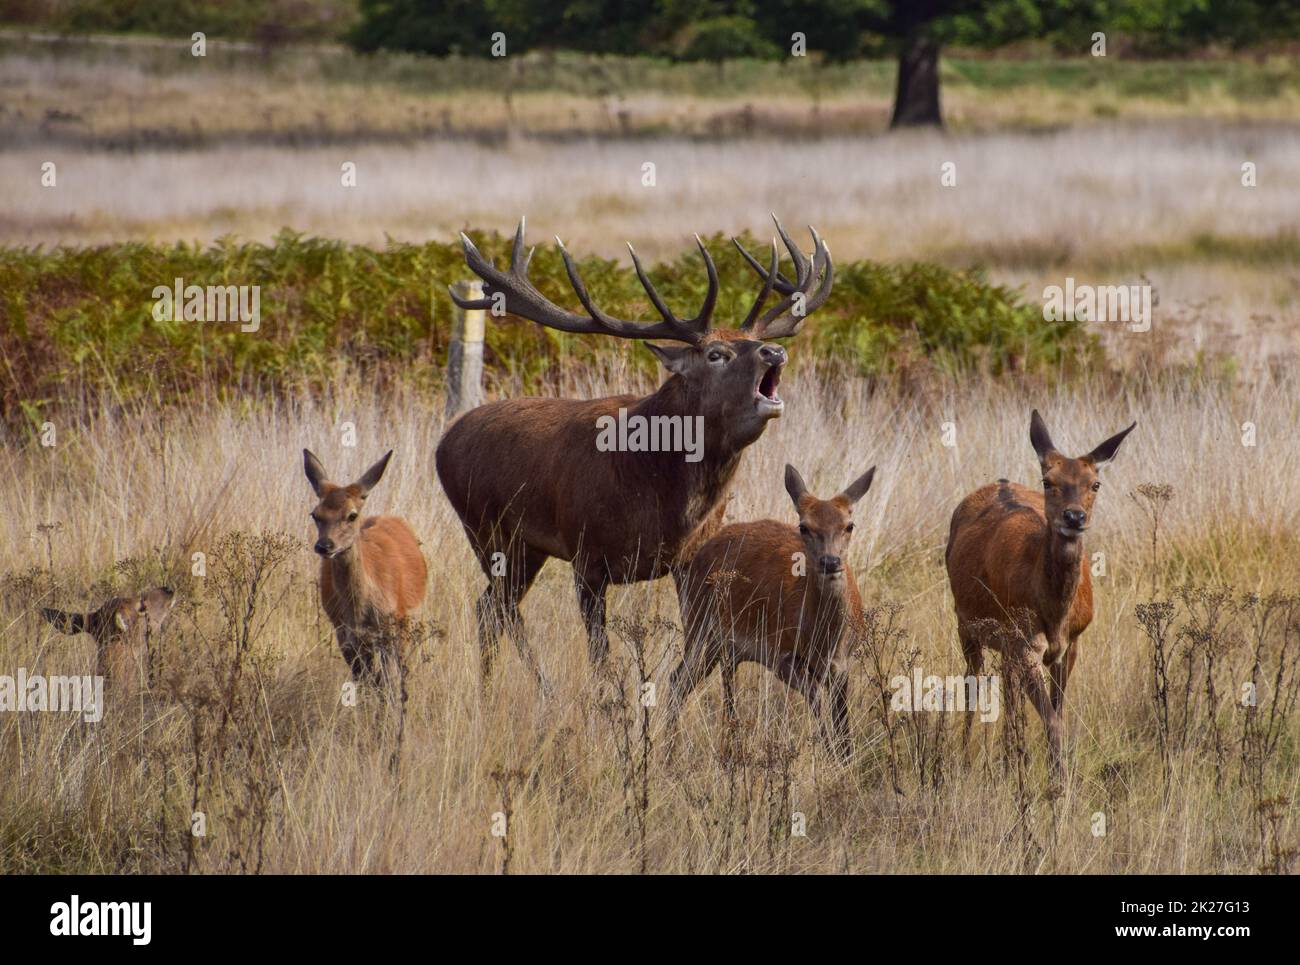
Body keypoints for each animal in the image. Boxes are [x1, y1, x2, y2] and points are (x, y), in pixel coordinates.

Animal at [303, 449, 428, 700]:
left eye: (351, 515)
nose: (324, 545)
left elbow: (391, 684)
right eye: (315, 514)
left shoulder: (393, 627)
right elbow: (367, 683)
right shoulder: (345, 636)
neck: (360, 609)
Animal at [436, 216, 833, 690]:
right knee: (500, 609)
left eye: (752, 341)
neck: (658, 494)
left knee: (490, 609)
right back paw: (535, 688)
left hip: (525, 547)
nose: (775, 350)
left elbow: (695, 654)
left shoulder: (690, 559)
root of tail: (444, 443)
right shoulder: (586, 556)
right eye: (716, 354)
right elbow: (601, 660)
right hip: (486, 530)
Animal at [665, 464, 875, 762]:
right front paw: (831, 757)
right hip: (697, 624)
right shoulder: (781, 655)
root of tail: (698, 554)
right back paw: (669, 751)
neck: (824, 641)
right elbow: (817, 701)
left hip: (725, 646)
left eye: (849, 525)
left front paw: (846, 760)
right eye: (804, 526)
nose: (831, 562)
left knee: (723, 684)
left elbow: (843, 720)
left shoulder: (843, 664)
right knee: (678, 680)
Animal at [945, 409, 1136, 769]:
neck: (1055, 614)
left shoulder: (1071, 643)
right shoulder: (1026, 642)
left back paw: (1010, 758)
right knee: (971, 684)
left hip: (1003, 643)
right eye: (1049, 481)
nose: (1074, 517)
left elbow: (1057, 713)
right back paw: (964, 756)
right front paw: (1057, 778)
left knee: (1008, 693)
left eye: (1095, 483)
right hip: (966, 623)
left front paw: (1053, 769)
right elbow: (1050, 719)